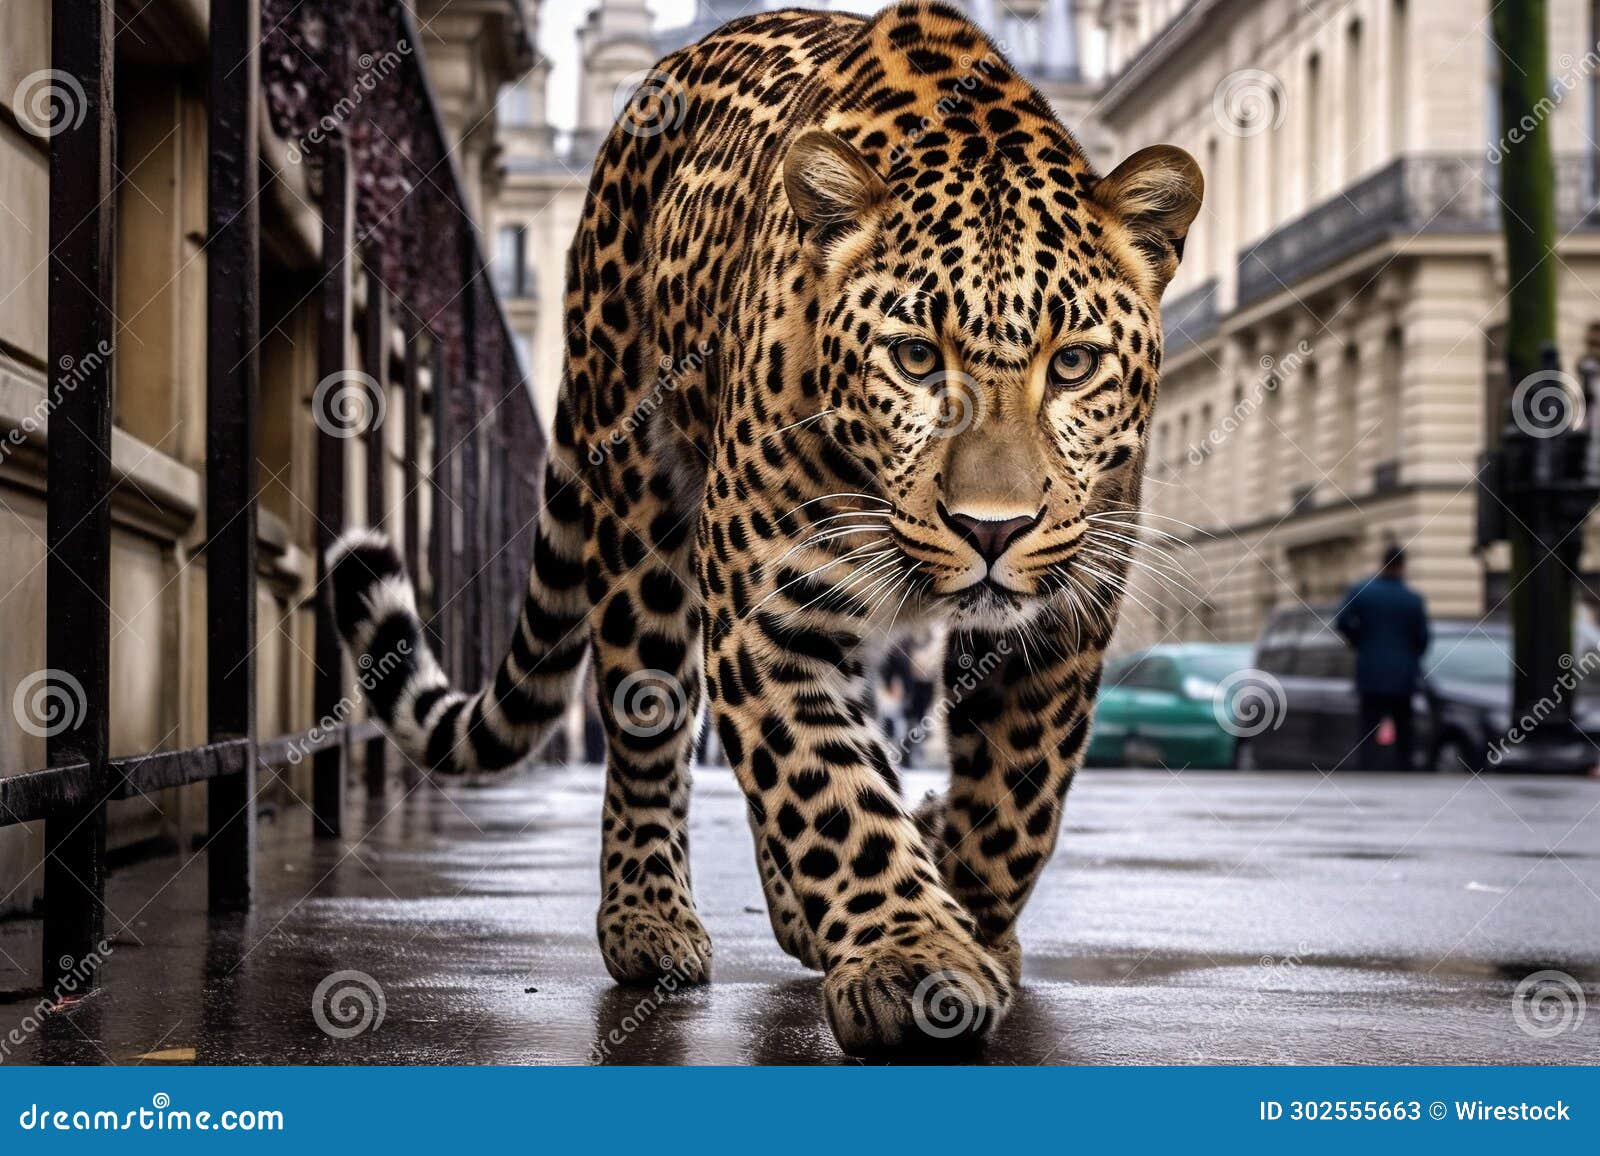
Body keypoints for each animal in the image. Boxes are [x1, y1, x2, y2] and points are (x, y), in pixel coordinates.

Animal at [328, 0, 1201, 1055]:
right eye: (915, 357)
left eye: (1073, 364)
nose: (991, 529)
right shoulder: (768, 611)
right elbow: (830, 793)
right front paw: (914, 960)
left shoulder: (1063, 612)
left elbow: (1015, 799)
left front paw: (968, 909)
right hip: (638, 512)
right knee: (650, 726)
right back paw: (651, 919)